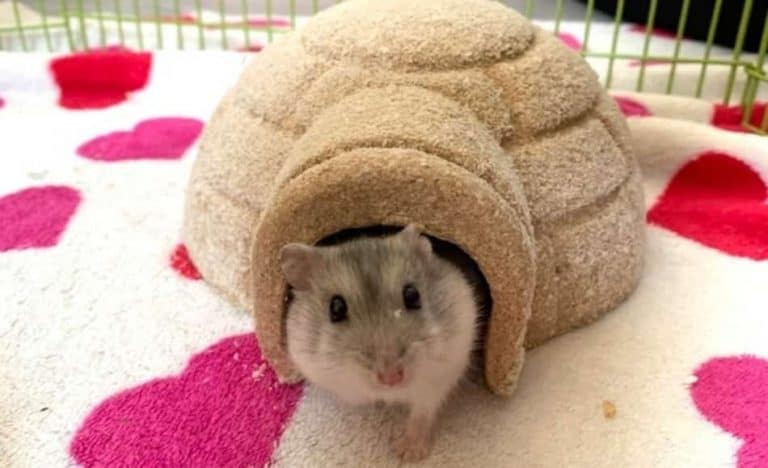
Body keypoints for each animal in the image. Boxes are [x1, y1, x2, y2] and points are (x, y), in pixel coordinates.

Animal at [280, 224, 484, 461]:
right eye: (336, 308)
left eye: (412, 295)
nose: (391, 379)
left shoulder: (438, 379)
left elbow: (422, 413)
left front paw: (406, 454)